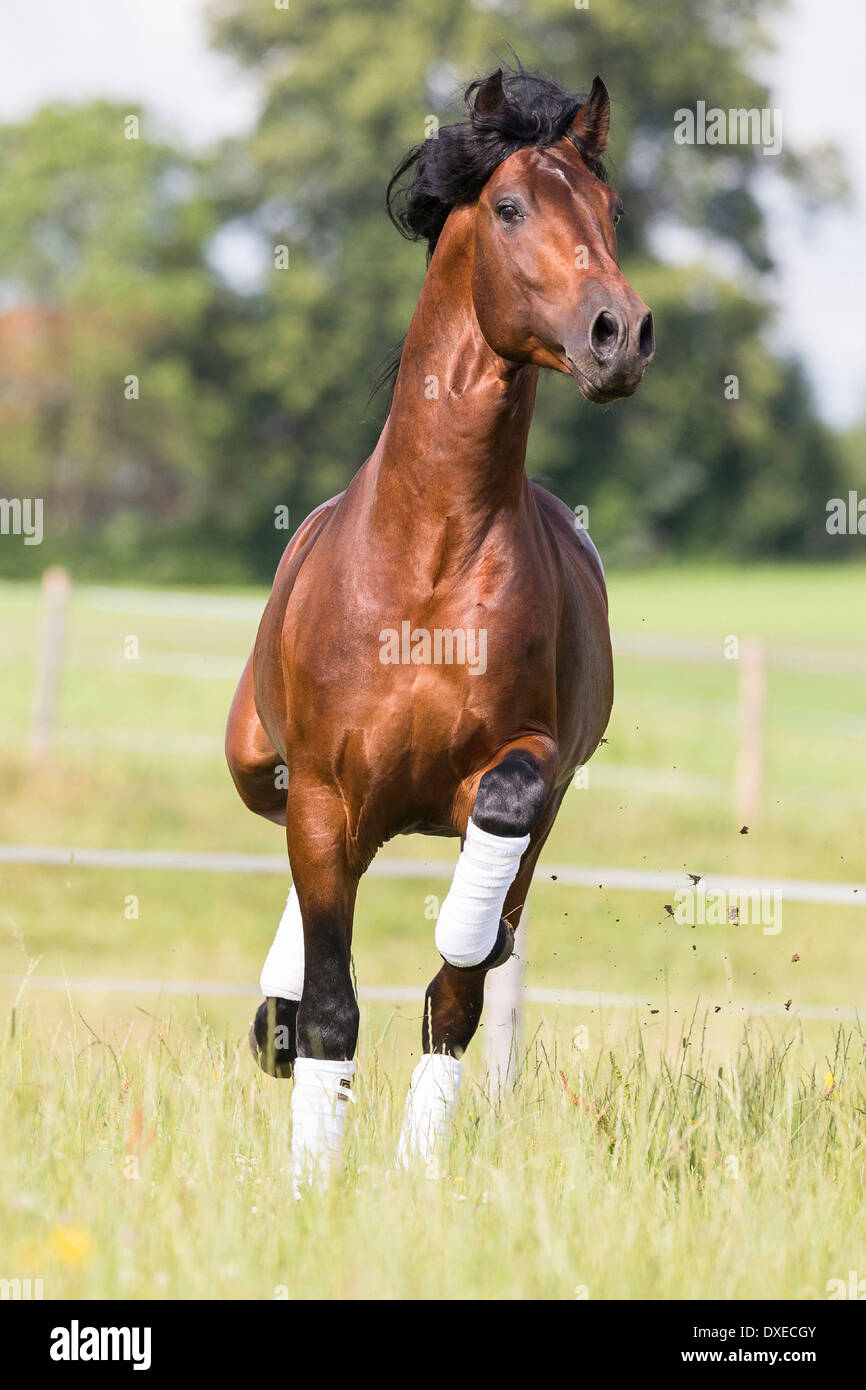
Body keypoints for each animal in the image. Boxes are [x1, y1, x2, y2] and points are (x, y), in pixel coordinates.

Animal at [226, 64, 654, 1188]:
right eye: (508, 208)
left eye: (609, 212)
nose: (620, 332)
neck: (429, 559)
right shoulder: (323, 792)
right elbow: (331, 1009)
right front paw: (312, 1181)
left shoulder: (526, 767)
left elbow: (457, 979)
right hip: (264, 767)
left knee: (453, 987)